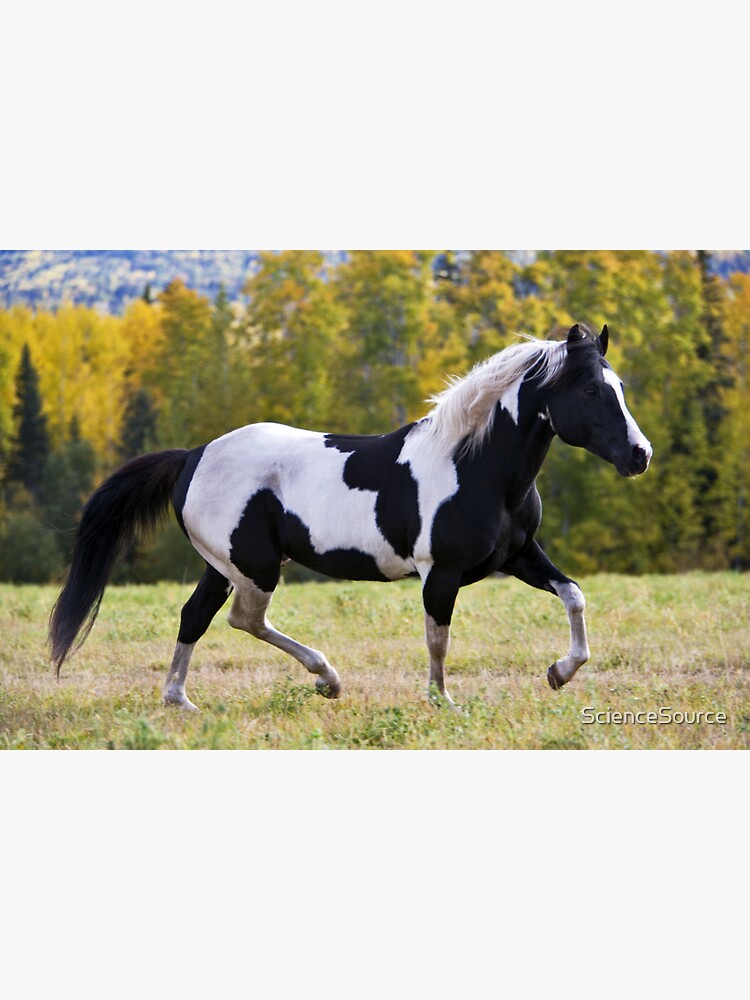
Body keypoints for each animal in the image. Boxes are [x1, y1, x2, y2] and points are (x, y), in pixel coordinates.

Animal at [49, 322, 652, 710]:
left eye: (620, 386)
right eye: (592, 389)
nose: (640, 455)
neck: (476, 466)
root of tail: (191, 457)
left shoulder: (519, 555)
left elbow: (574, 595)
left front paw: (558, 673)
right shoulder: (441, 573)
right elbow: (438, 639)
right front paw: (443, 702)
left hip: (222, 566)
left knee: (195, 616)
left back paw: (182, 700)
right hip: (253, 567)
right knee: (244, 619)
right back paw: (327, 679)